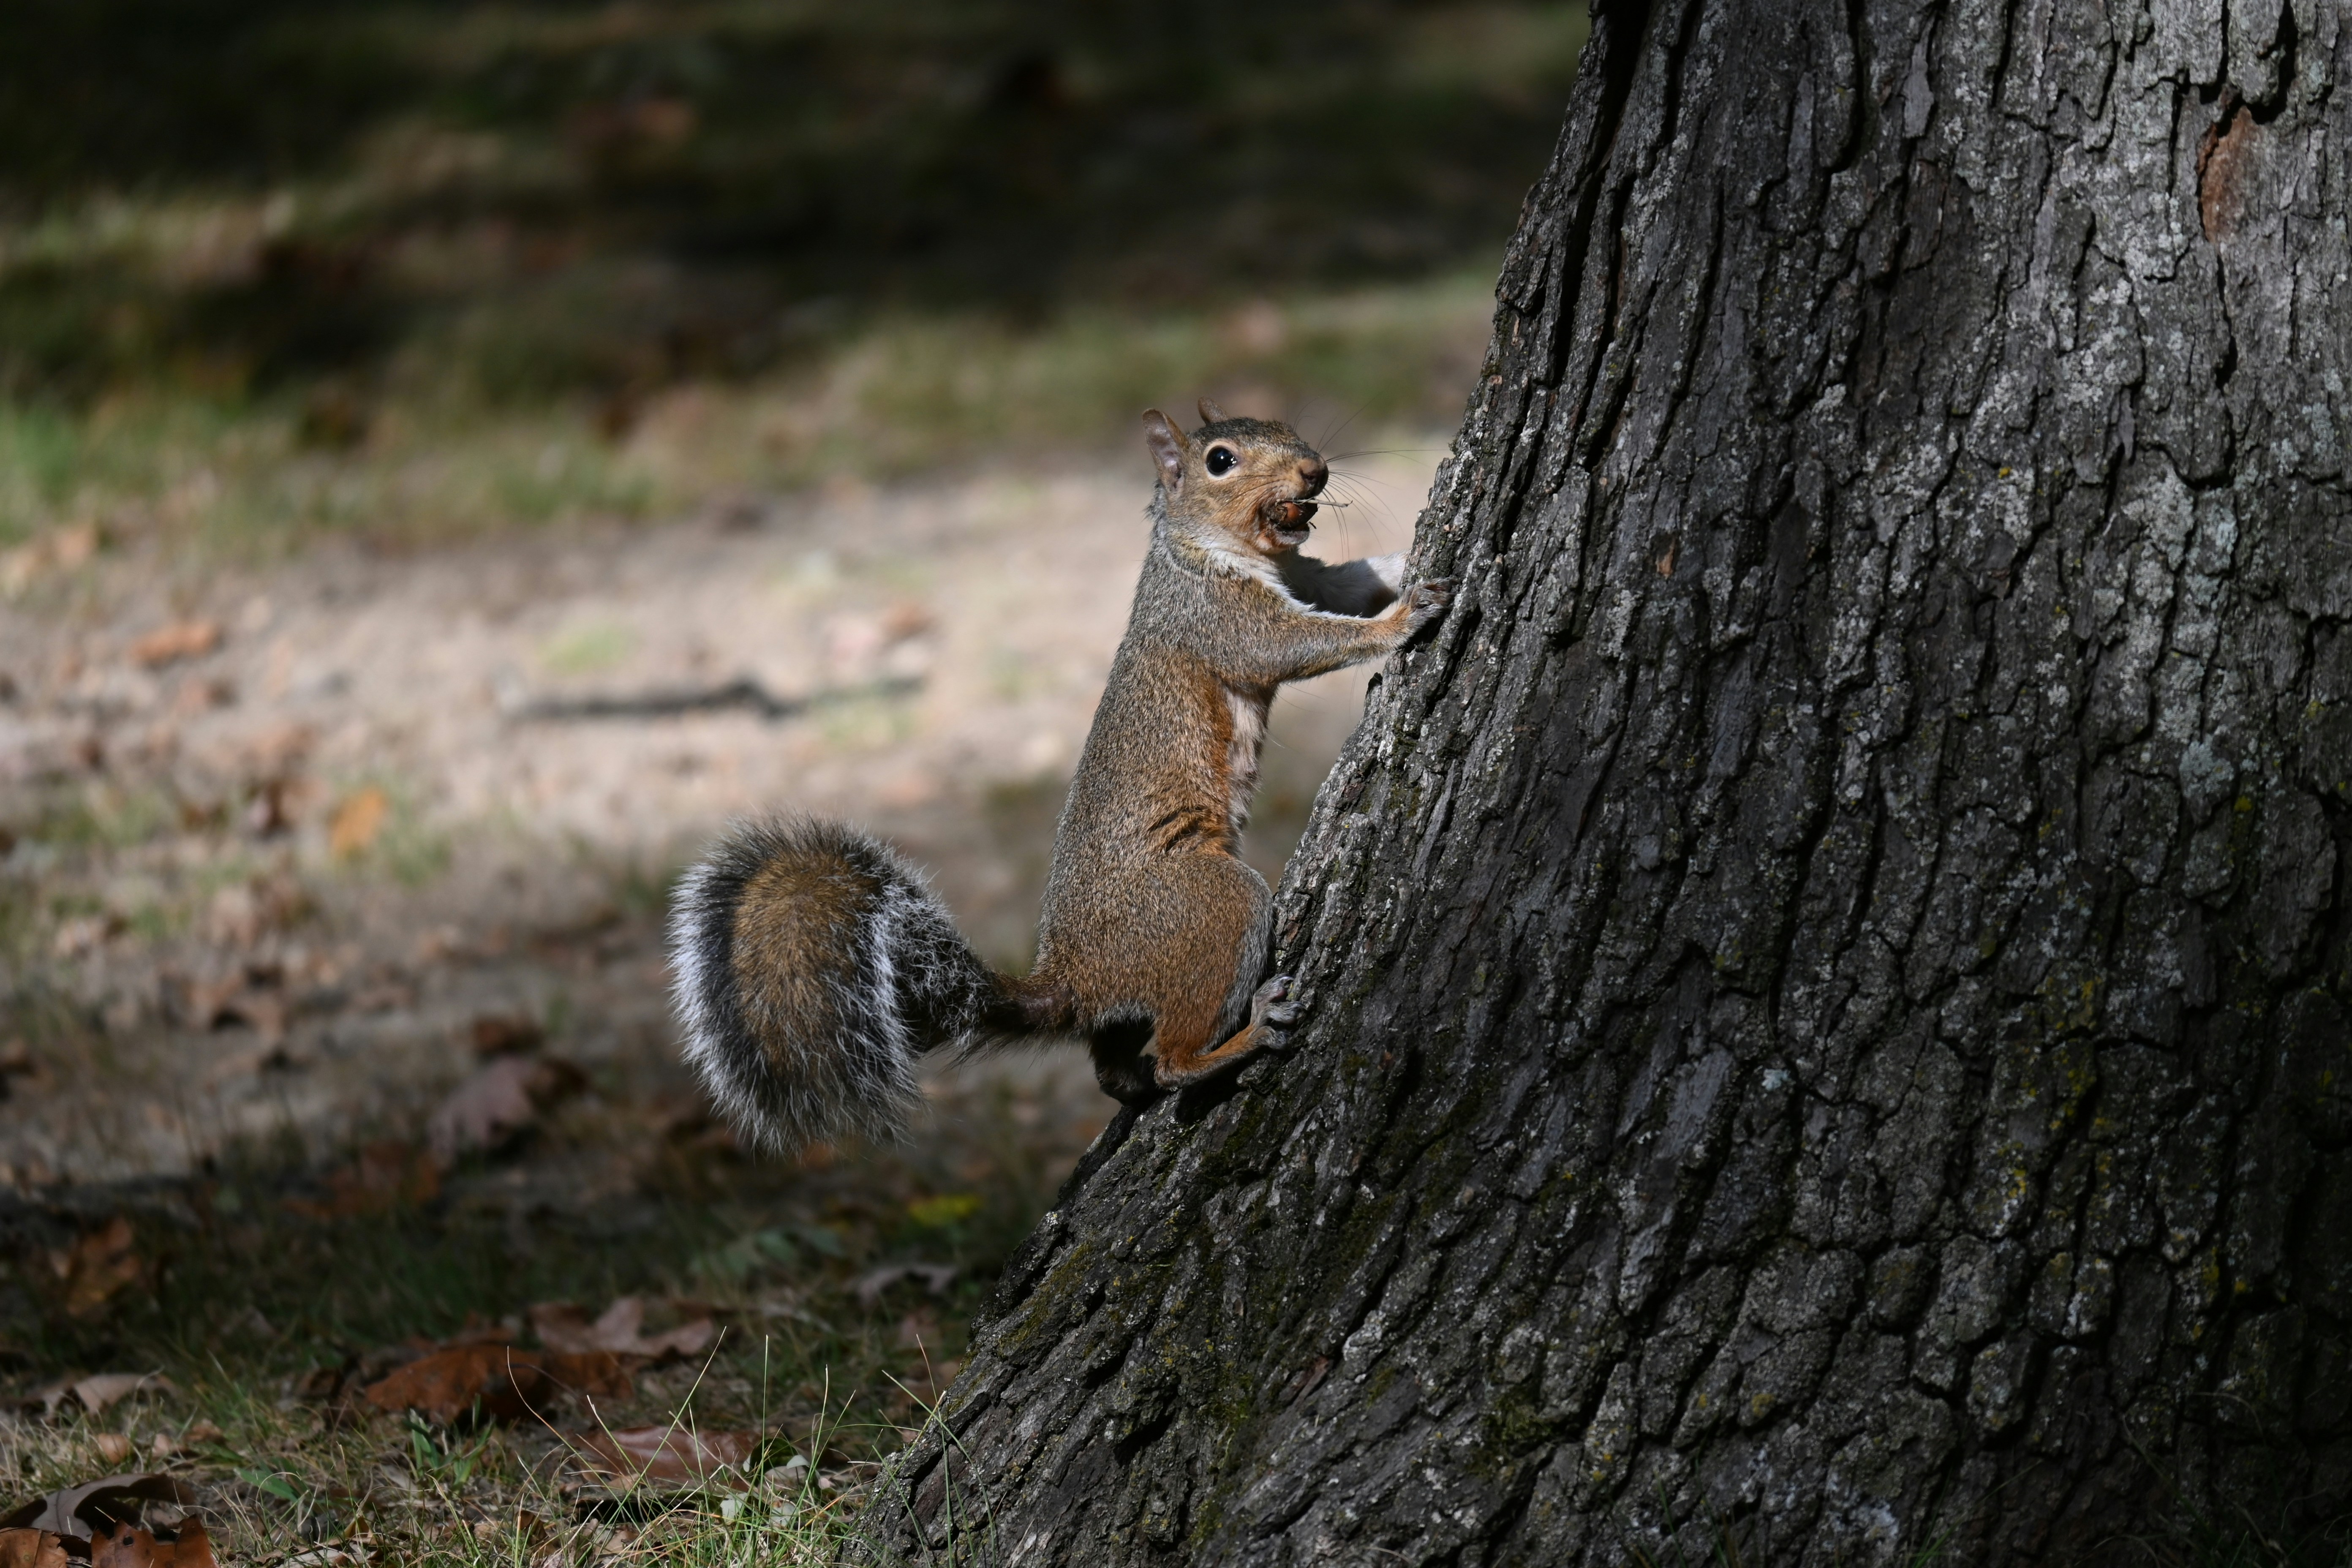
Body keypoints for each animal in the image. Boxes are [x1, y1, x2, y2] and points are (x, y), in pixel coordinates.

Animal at [667, 400, 1451, 1152]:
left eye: (1288, 427)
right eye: (1220, 461)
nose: (1314, 470)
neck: (1213, 552)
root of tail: (1075, 978)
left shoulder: (1307, 575)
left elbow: (1351, 579)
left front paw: (1405, 561)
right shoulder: (1214, 617)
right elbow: (1298, 642)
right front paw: (1400, 620)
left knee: (1112, 1065)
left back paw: (1136, 1076)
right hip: (1210, 906)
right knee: (1175, 1057)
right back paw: (1247, 1032)